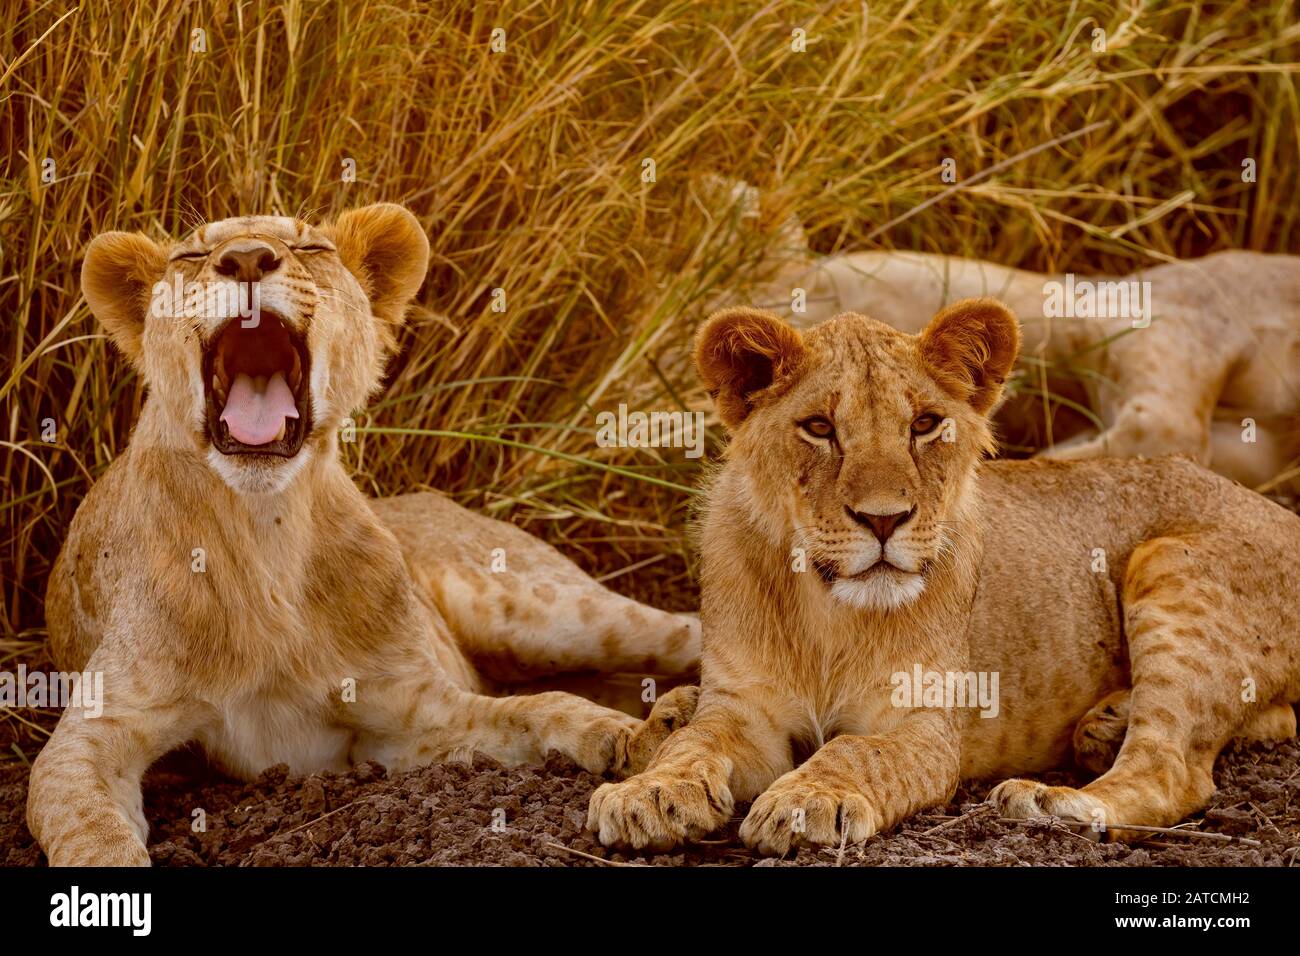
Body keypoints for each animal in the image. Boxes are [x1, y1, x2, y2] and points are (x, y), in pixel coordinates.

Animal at [28, 204, 700, 866]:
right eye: (191, 256)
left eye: (312, 249)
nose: (245, 259)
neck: (268, 530)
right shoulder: (94, 734)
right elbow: (90, 830)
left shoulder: (413, 709)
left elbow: (542, 708)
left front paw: (637, 736)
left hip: (541, 612)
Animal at [587, 298, 1300, 855]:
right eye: (819, 427)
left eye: (925, 424)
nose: (884, 519)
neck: (827, 611)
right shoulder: (743, 708)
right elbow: (694, 743)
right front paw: (647, 792)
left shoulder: (923, 725)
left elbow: (854, 751)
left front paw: (808, 800)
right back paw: (1106, 724)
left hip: (1168, 564)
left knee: (1174, 771)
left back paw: (1051, 802)